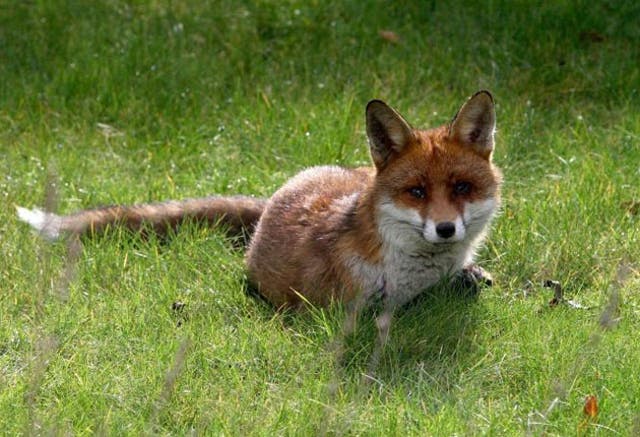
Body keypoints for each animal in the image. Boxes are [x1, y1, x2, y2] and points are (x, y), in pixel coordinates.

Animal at [17, 91, 502, 310]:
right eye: (416, 192)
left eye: (462, 188)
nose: (445, 229)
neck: (416, 274)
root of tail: (272, 199)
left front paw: (469, 274)